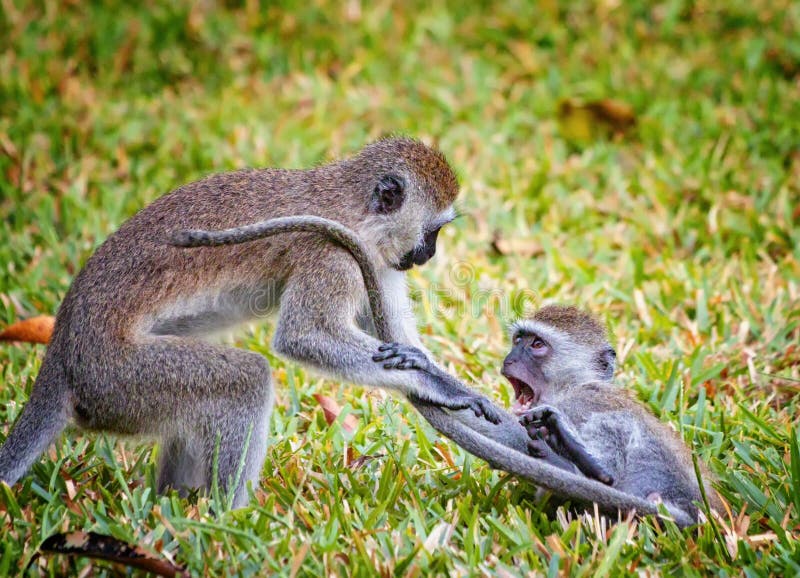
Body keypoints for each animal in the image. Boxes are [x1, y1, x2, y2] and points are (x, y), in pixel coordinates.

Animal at [0, 138, 502, 508]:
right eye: (433, 232)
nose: (429, 254)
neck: (353, 209)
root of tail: (61, 349)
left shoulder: (376, 263)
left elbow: (394, 337)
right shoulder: (333, 255)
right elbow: (304, 335)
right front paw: (440, 387)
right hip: (116, 377)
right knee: (245, 380)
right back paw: (229, 518)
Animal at [375, 305, 724, 526]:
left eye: (537, 345)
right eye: (518, 340)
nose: (509, 359)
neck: (573, 385)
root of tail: (699, 514)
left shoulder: (581, 402)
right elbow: (502, 425)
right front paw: (429, 370)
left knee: (616, 431)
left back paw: (590, 467)